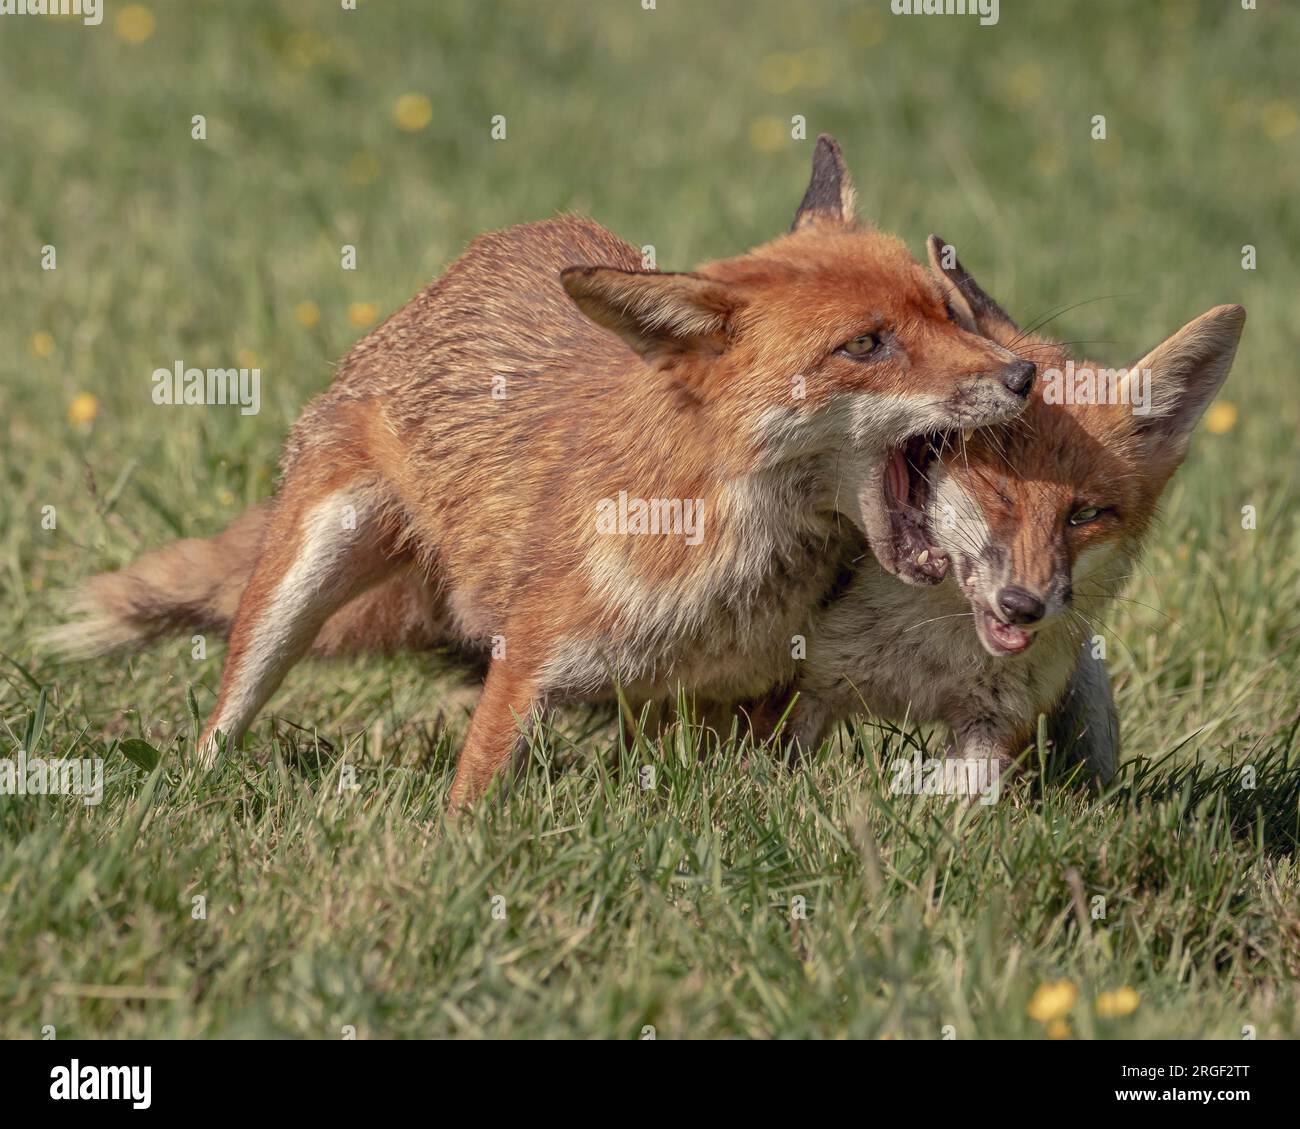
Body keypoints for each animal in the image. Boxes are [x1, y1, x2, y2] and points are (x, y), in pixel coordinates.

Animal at [48, 136, 1037, 809]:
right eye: (866, 344)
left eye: (950, 311)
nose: (1024, 375)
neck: (715, 555)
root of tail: (488, 248)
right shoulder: (525, 662)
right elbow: (470, 806)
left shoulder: (752, 702)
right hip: (302, 576)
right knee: (226, 708)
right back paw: (193, 790)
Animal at [784, 236, 1246, 779]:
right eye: (999, 491)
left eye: (1085, 515)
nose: (1022, 606)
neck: (929, 656)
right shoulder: (802, 692)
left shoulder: (994, 724)